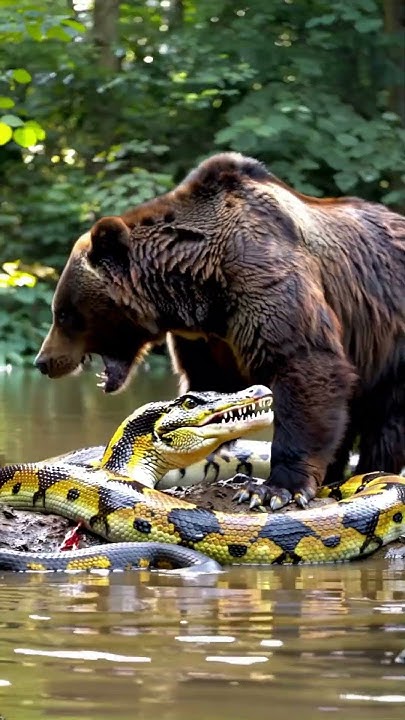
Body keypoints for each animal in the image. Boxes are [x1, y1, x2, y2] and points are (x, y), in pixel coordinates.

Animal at [35, 152, 405, 509]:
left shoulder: (264, 280)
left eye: (64, 313)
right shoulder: (207, 341)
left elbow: (305, 364)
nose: (44, 361)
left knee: (385, 423)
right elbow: (210, 386)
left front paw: (275, 488)